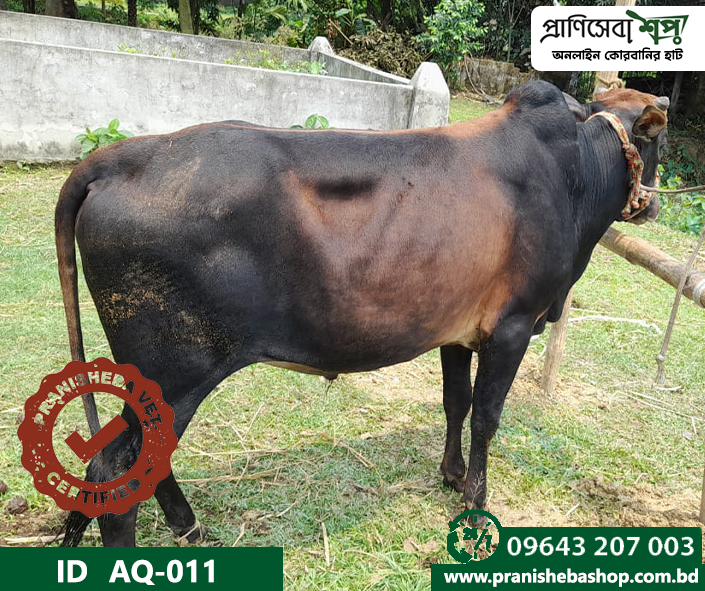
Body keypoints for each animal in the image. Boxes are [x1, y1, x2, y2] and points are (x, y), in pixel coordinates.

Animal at [55, 81, 668, 546]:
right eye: (655, 140)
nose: (656, 202)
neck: (574, 173)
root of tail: (122, 156)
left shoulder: (456, 329)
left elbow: (455, 401)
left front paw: (451, 475)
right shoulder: (513, 326)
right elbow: (486, 417)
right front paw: (475, 505)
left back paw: (179, 526)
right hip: (176, 370)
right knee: (115, 473)